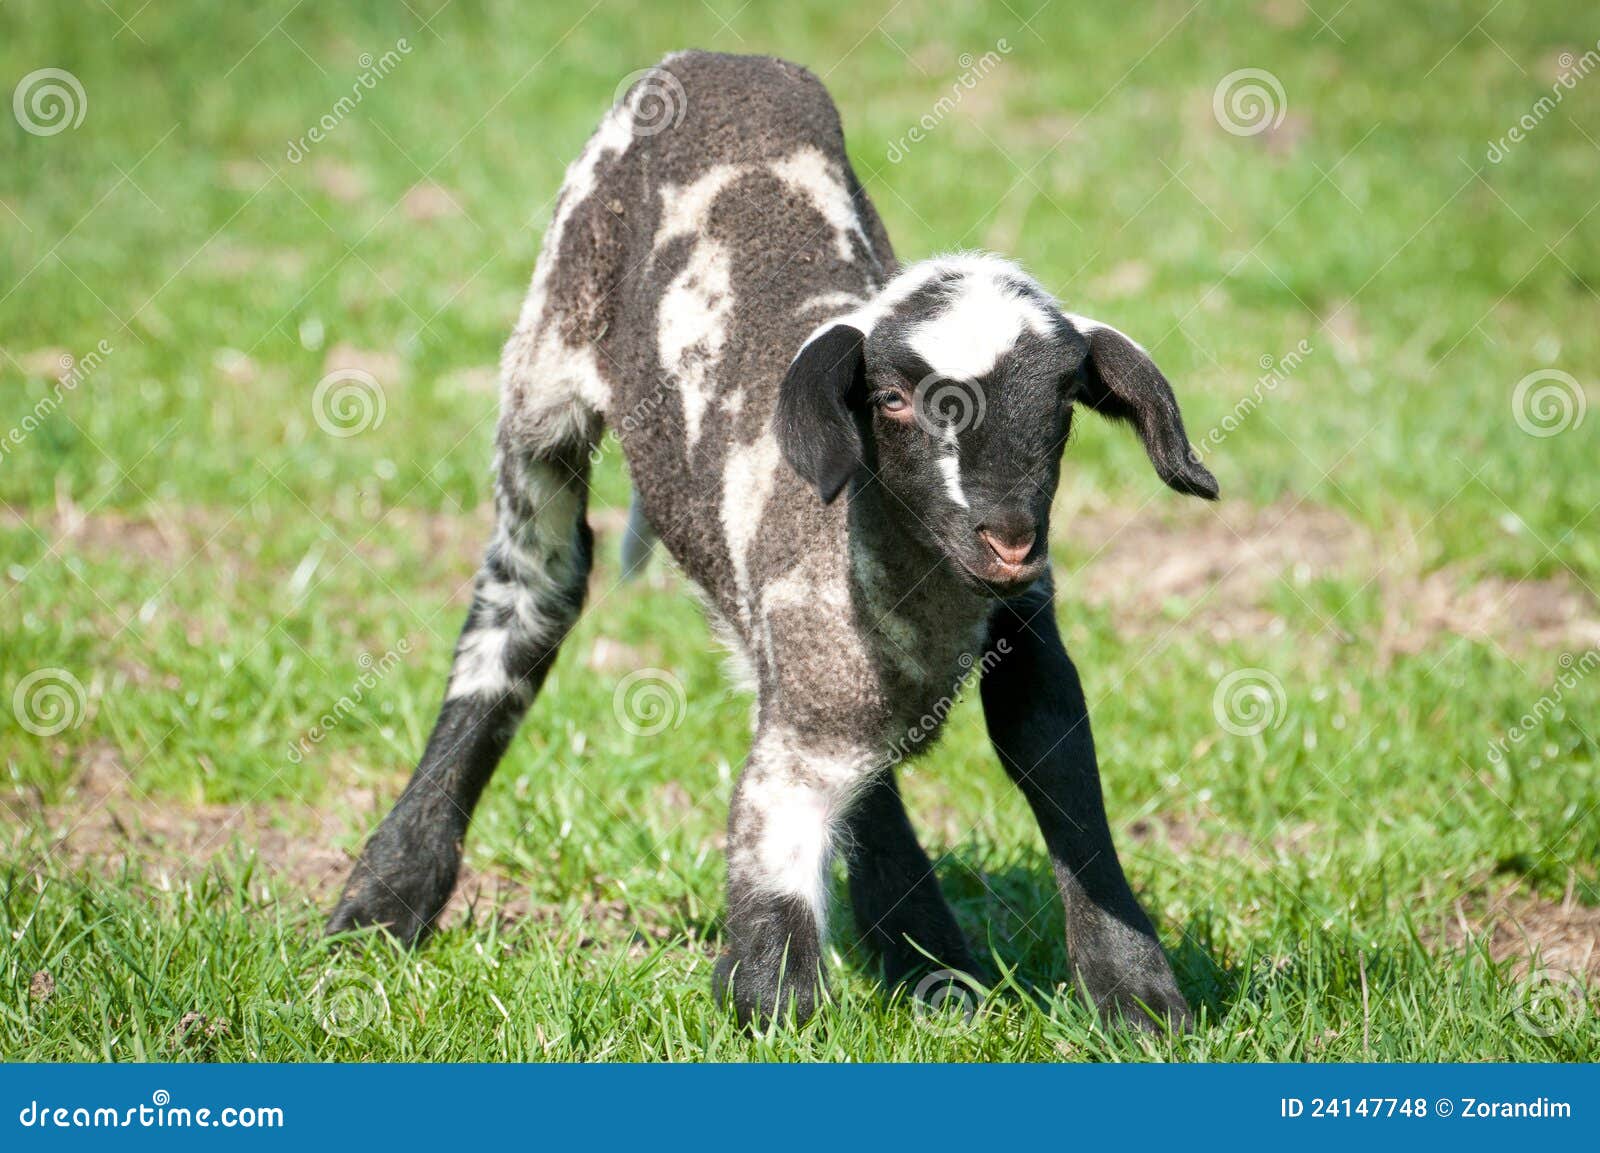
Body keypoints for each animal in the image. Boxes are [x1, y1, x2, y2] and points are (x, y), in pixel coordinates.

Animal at [328, 50, 1218, 1032]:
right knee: (532, 588)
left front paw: (1135, 996)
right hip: (545, 359)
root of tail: (720, 59)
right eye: (892, 399)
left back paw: (928, 956)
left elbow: (1053, 757)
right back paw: (385, 895)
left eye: (1063, 402)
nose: (1009, 535)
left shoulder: (1014, 624)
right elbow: (771, 969)